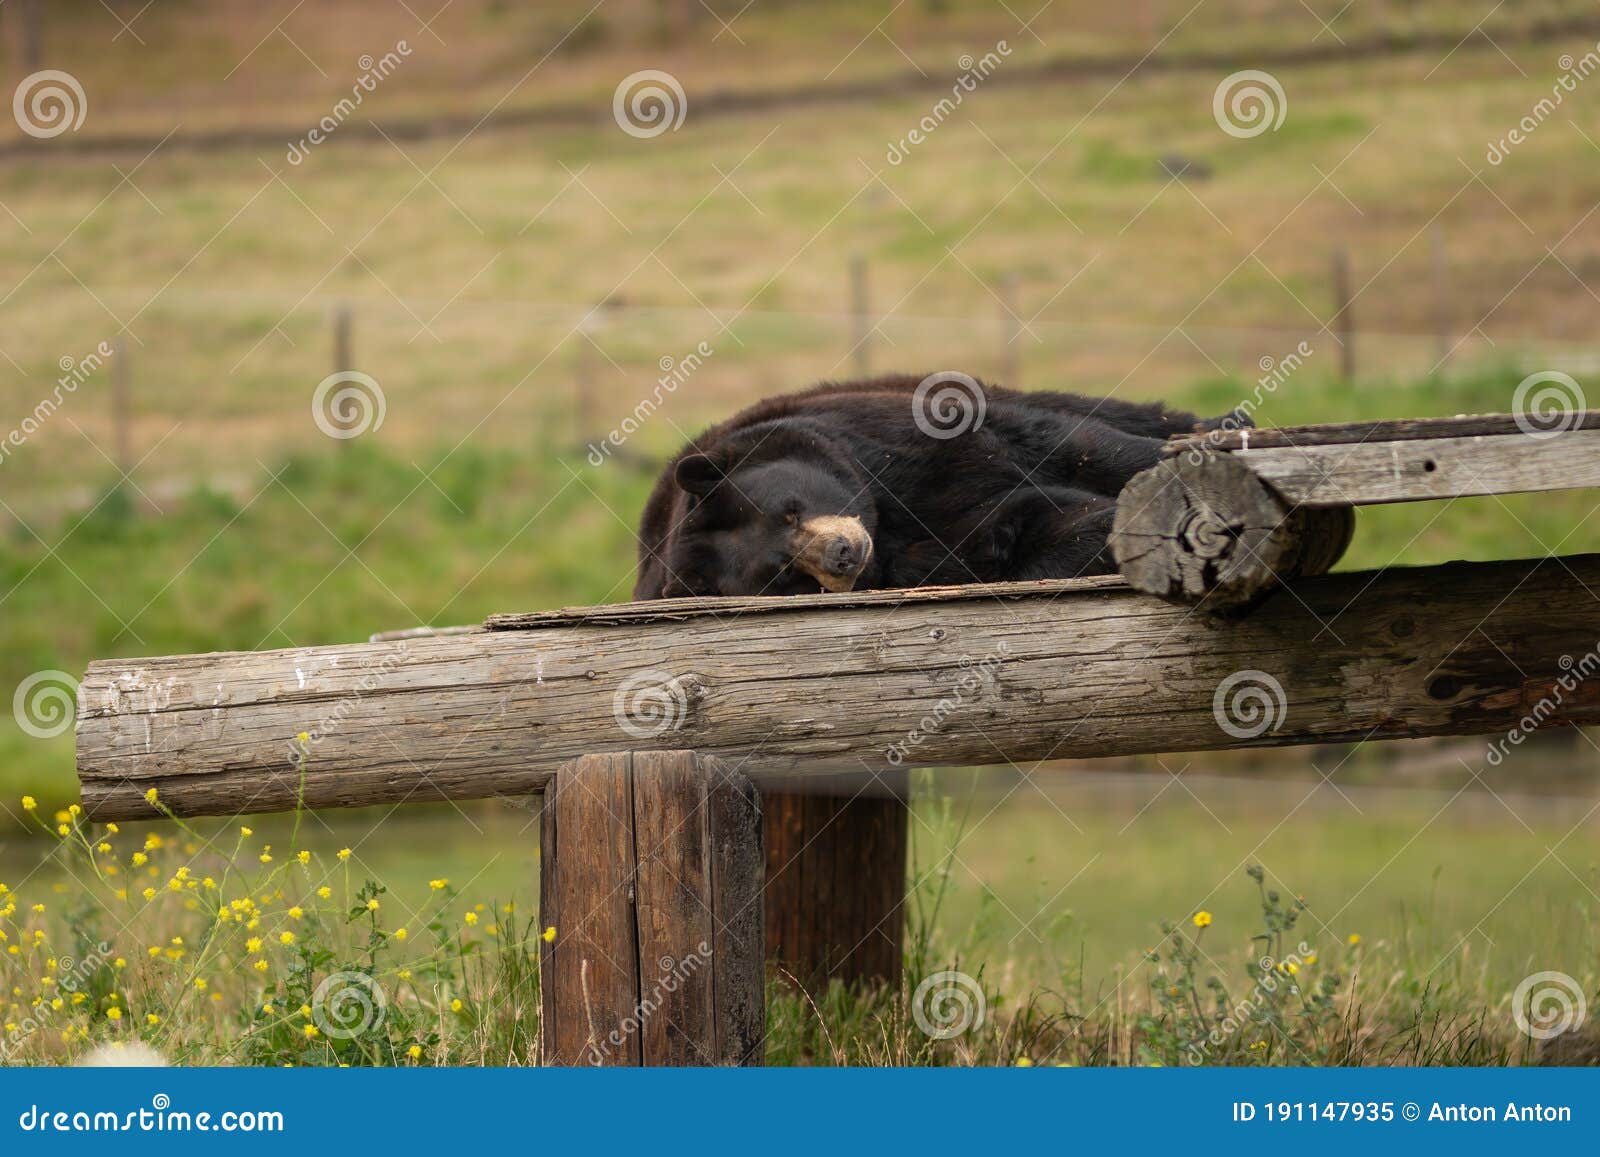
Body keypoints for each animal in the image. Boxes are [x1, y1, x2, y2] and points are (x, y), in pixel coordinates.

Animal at [633, 374, 1244, 600]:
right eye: (784, 574)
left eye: (790, 509)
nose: (841, 553)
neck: (883, 518)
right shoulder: (923, 556)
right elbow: (1023, 535)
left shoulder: (890, 445)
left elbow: (1062, 445)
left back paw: (1223, 421)